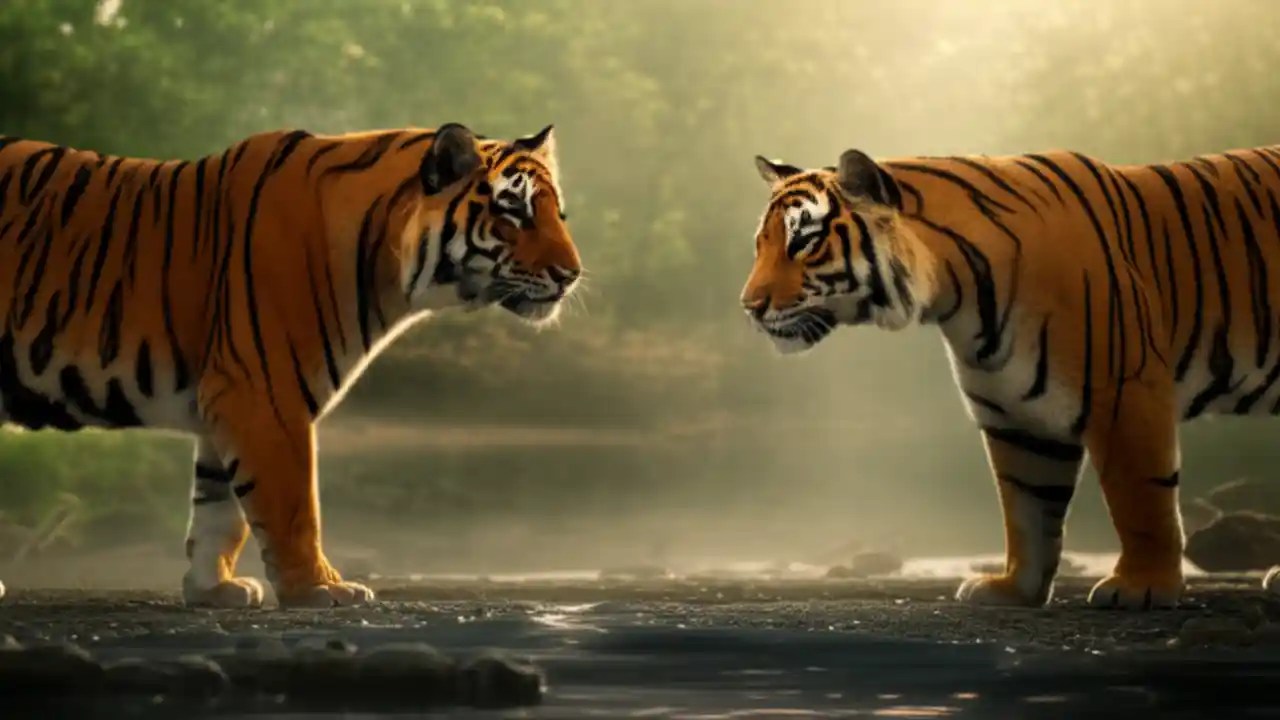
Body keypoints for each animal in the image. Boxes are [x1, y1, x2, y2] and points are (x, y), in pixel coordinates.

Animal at [0, 122, 581, 607]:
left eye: (558, 213)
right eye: (513, 211)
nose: (571, 274)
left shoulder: (224, 397)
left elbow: (218, 506)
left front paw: (213, 588)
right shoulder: (263, 393)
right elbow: (292, 505)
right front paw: (319, 588)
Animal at [741, 143, 1280, 609]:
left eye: (804, 243)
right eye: (760, 245)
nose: (749, 306)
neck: (956, 295)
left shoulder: (1126, 392)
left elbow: (1140, 500)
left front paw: (1141, 587)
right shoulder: (1013, 414)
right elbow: (1025, 510)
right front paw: (1012, 589)